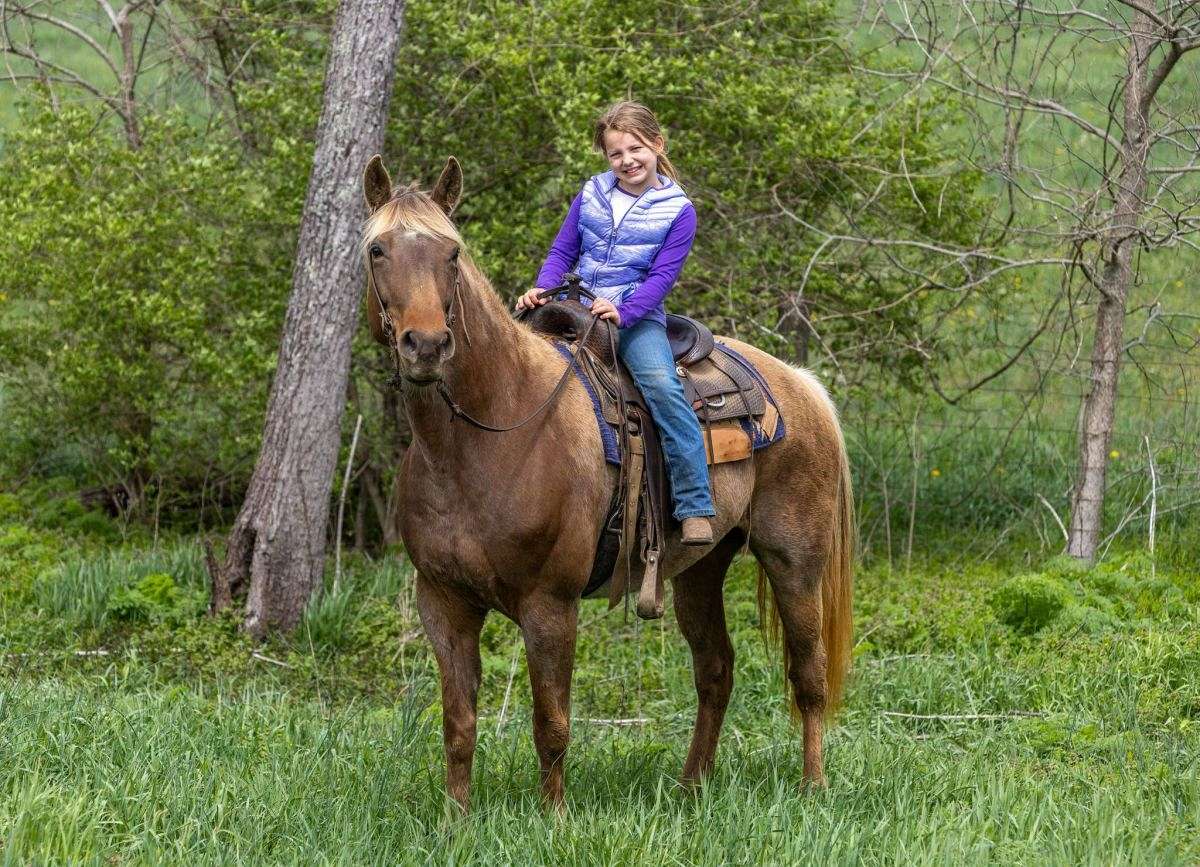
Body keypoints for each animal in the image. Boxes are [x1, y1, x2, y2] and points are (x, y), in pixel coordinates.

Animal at [359, 155, 853, 812]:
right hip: (701, 567)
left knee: (809, 674)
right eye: (377, 250)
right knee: (716, 670)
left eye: (452, 253)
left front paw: (553, 817)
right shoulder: (444, 603)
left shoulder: (550, 605)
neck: (486, 437)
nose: (427, 345)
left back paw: (813, 787)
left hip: (793, 559)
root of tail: (800, 383)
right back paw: (691, 787)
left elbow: (551, 723)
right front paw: (455, 819)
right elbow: (458, 724)